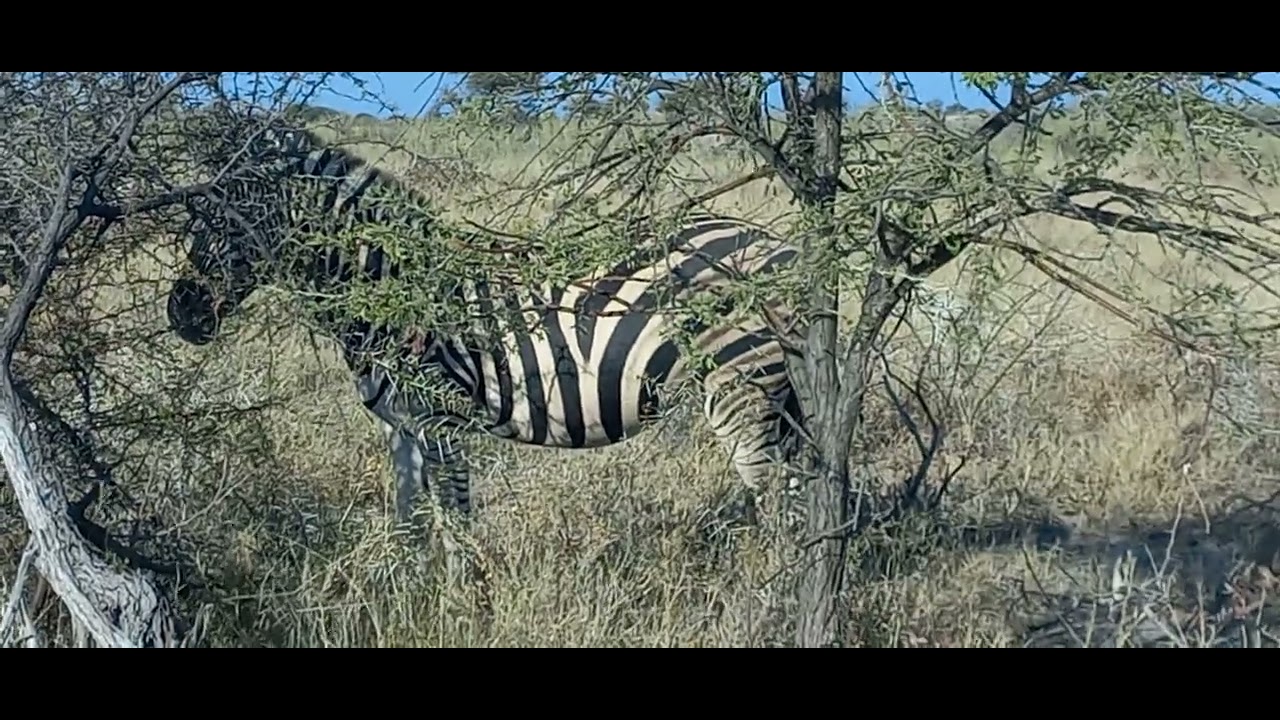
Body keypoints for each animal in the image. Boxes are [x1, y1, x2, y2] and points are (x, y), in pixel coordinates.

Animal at [165, 120, 808, 527]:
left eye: (228, 216)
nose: (180, 315)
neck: (385, 283)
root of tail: (776, 242)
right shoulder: (399, 428)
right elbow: (409, 526)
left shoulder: (441, 420)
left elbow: (457, 525)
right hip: (781, 395)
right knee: (803, 492)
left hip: (739, 387)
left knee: (775, 502)